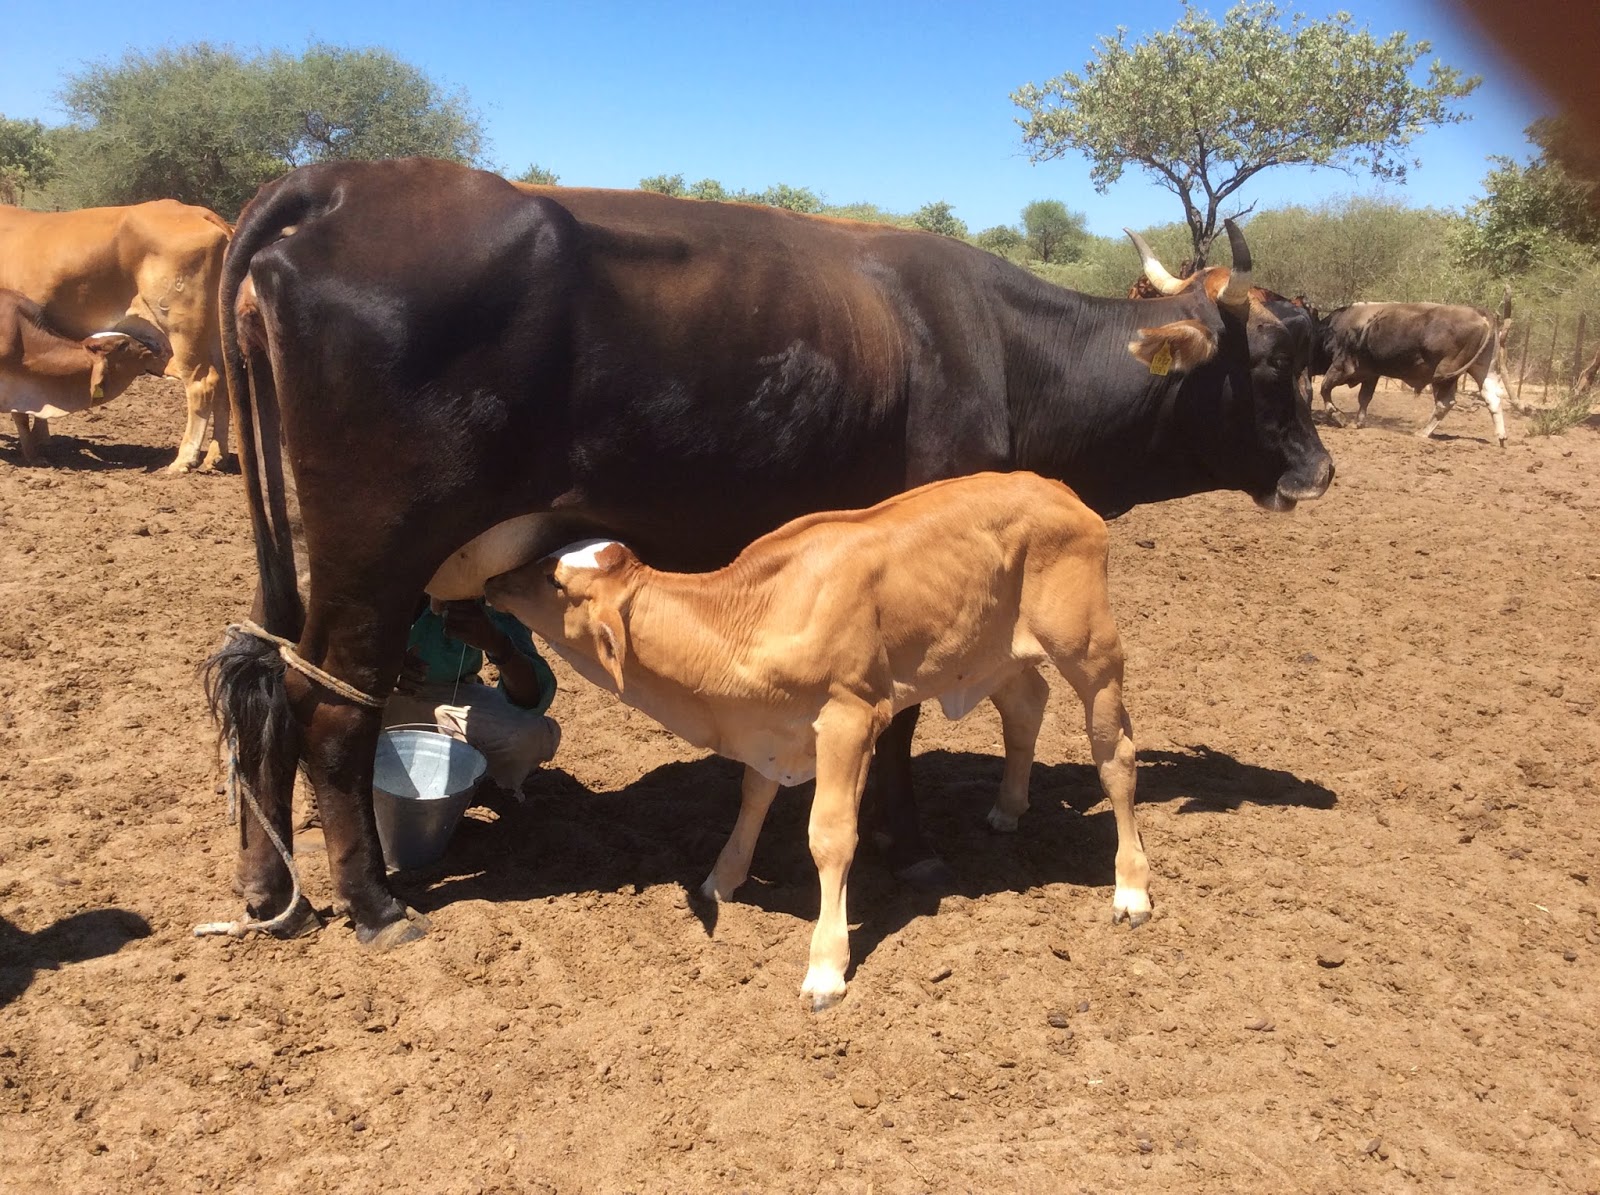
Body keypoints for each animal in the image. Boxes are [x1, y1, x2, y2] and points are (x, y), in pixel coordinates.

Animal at [203, 157, 1331, 950]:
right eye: (1274, 362)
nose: (1320, 470)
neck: (1001, 345)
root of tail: (338, 180)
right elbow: (903, 727)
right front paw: (912, 848)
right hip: (377, 556)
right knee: (330, 712)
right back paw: (372, 904)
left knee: (265, 684)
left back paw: (267, 886)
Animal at [482, 471, 1141, 1009]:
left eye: (552, 580)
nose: (491, 579)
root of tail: (1056, 488)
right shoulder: (772, 727)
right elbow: (752, 799)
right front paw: (722, 880)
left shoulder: (850, 717)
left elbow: (829, 836)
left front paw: (826, 968)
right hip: (992, 651)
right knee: (1027, 704)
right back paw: (1007, 808)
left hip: (1092, 650)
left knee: (1116, 757)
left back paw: (1132, 889)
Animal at [1310, 300, 1512, 446]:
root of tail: (1479, 312)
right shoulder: (1371, 374)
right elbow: (1364, 398)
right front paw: (1358, 422)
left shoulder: (1342, 367)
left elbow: (1325, 389)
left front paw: (1339, 417)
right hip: (1482, 368)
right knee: (1492, 397)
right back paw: (1501, 437)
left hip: (1445, 373)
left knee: (1445, 403)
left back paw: (1422, 432)